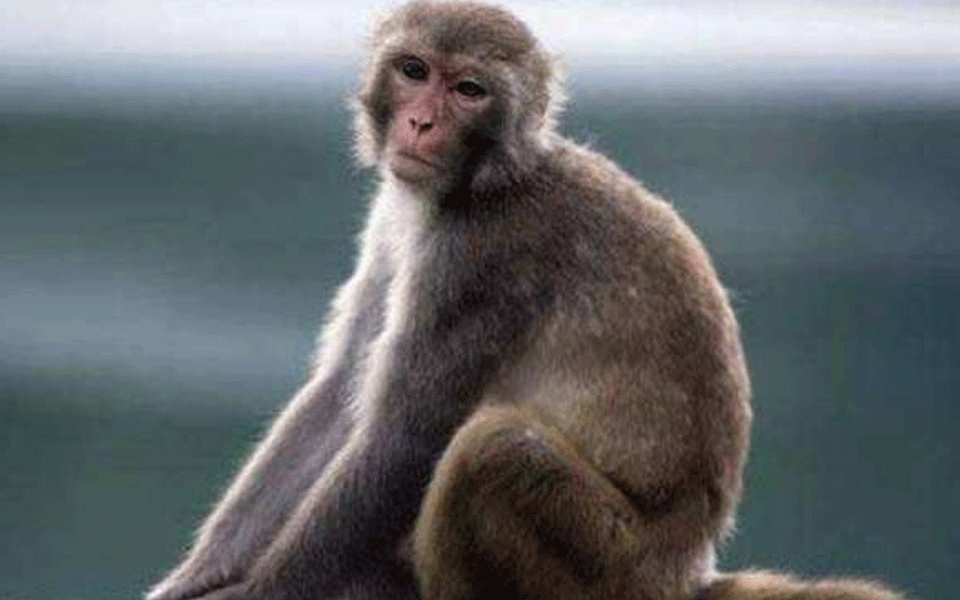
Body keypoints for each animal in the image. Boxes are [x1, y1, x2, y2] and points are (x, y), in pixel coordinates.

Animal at [146, 2, 907, 600]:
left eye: (469, 90)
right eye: (414, 71)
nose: (421, 125)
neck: (482, 179)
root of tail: (687, 574)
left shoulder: (482, 257)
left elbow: (403, 437)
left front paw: (259, 592)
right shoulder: (399, 224)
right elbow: (341, 393)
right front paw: (196, 577)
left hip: (607, 567)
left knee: (496, 450)